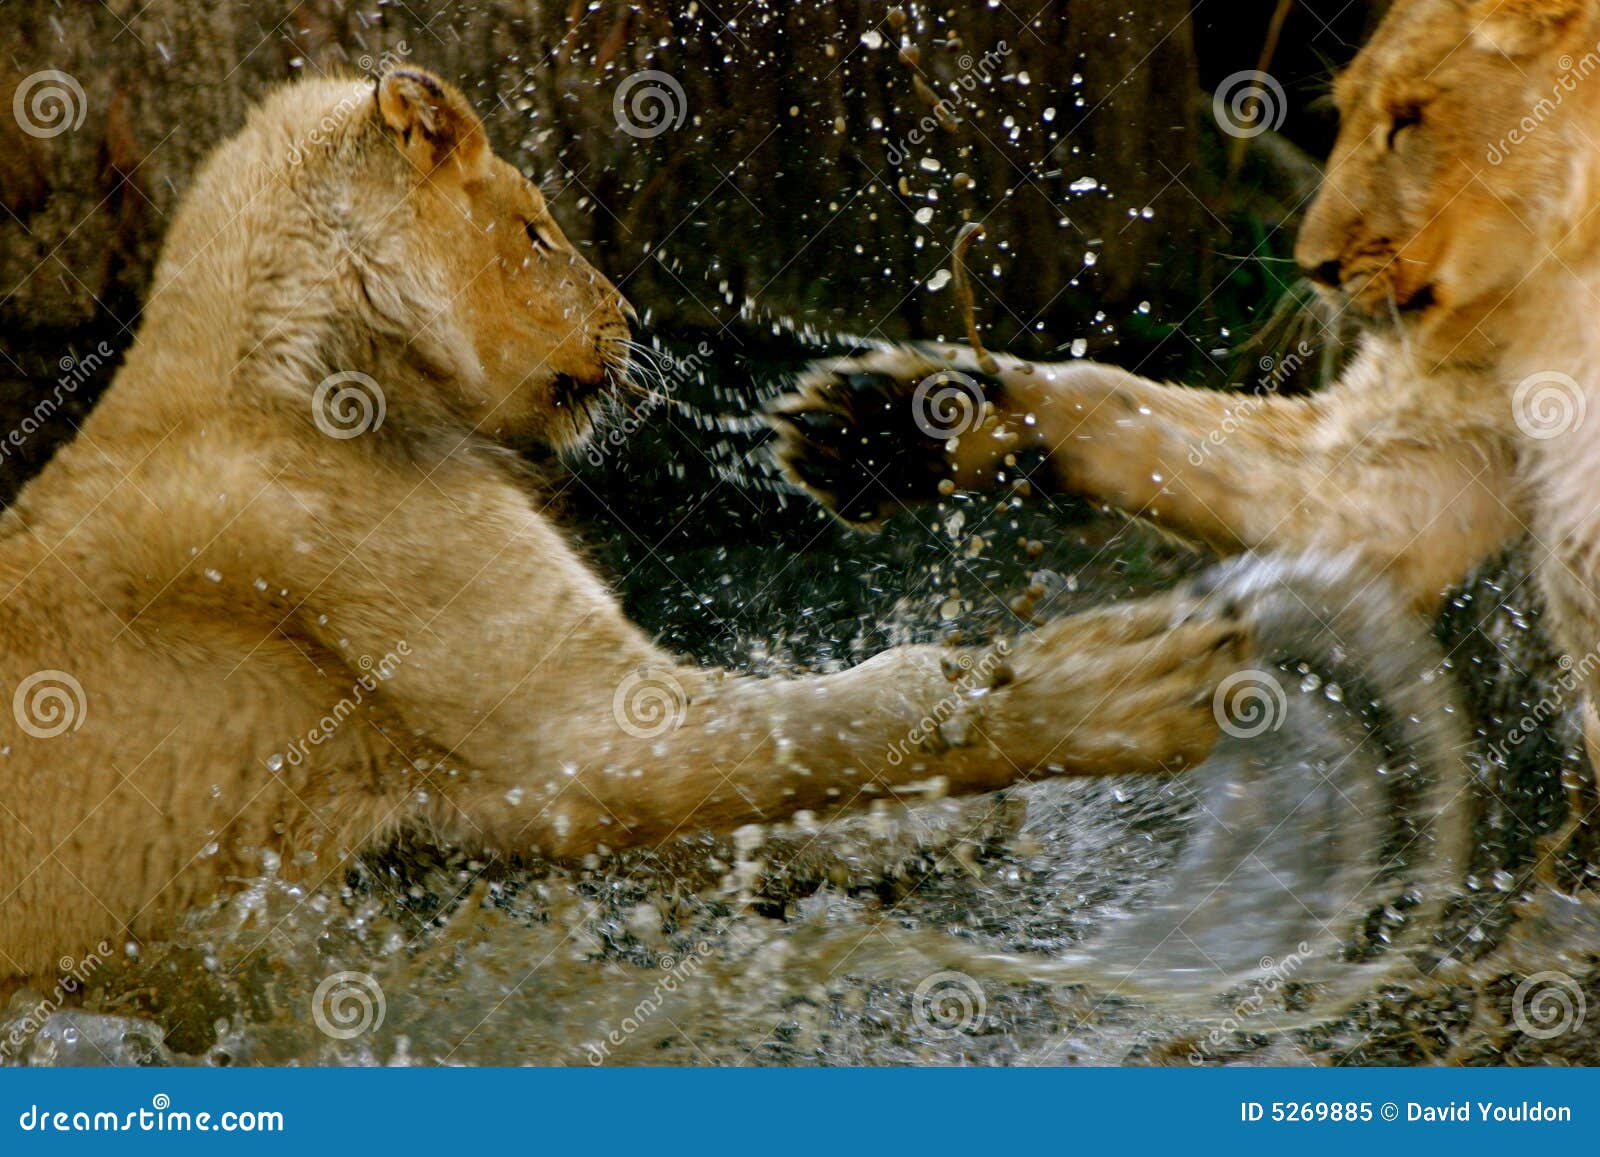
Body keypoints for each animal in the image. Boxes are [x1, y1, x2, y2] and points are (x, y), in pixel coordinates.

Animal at [0, 66, 1268, 977]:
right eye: (538, 232)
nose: (622, 315)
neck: (309, 373)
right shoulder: (577, 730)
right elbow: (859, 712)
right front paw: (1126, 681)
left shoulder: (473, 790)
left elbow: (777, 792)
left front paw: (934, 830)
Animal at [773, 0, 1600, 778]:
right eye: (1350, 110)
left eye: (1410, 119)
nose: (1315, 267)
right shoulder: (1436, 442)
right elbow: (1127, 407)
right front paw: (894, 425)